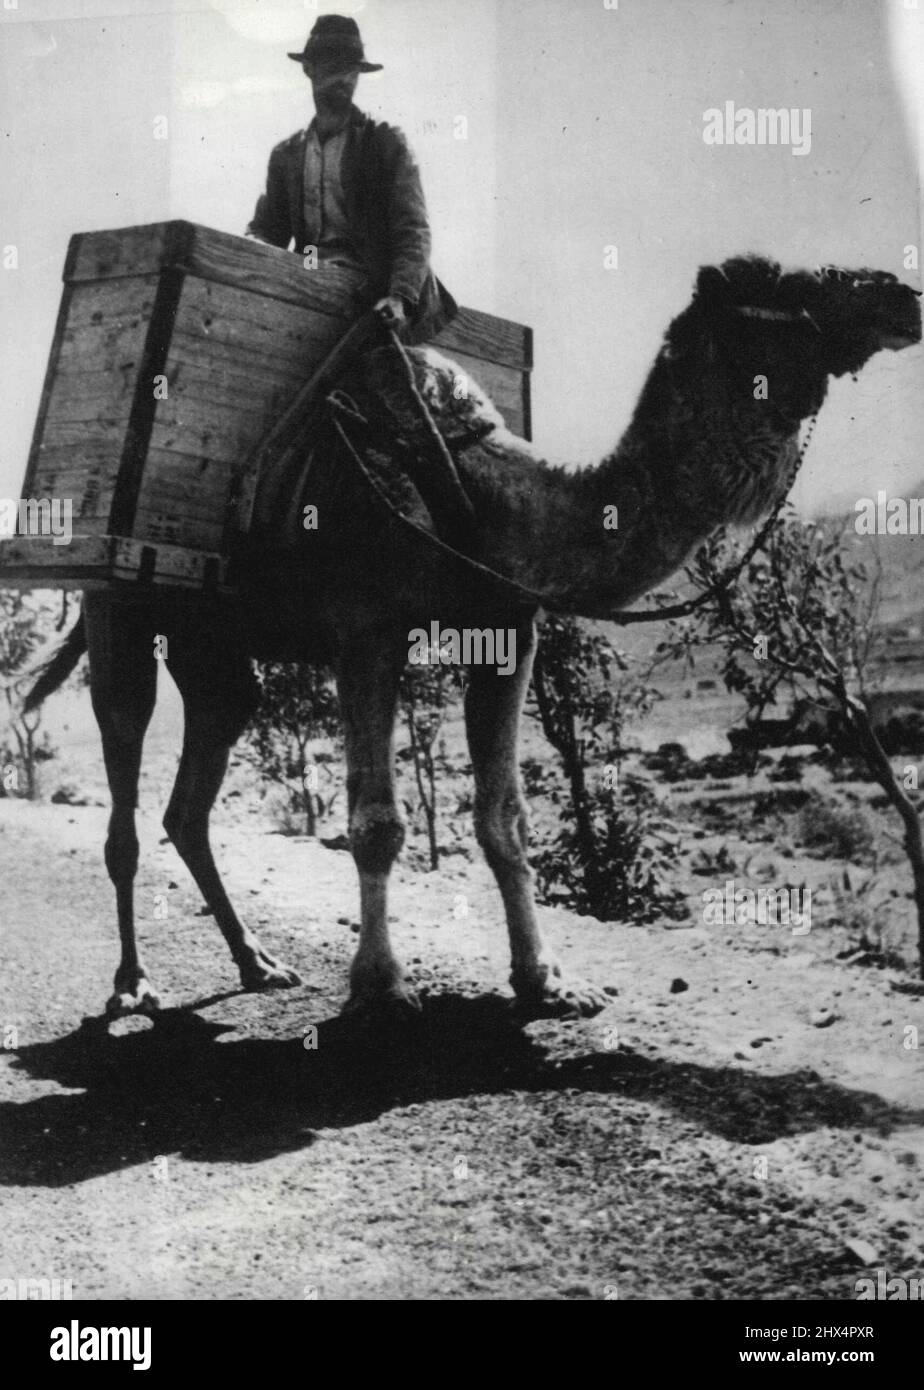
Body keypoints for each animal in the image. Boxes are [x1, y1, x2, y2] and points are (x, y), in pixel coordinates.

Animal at [24, 255, 921, 1021]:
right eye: (784, 284)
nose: (900, 295)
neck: (482, 497)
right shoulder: (368, 633)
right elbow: (378, 823)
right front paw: (382, 988)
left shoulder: (506, 637)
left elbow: (506, 820)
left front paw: (548, 981)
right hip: (121, 609)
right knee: (126, 791)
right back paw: (134, 983)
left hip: (216, 651)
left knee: (192, 795)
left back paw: (258, 963)